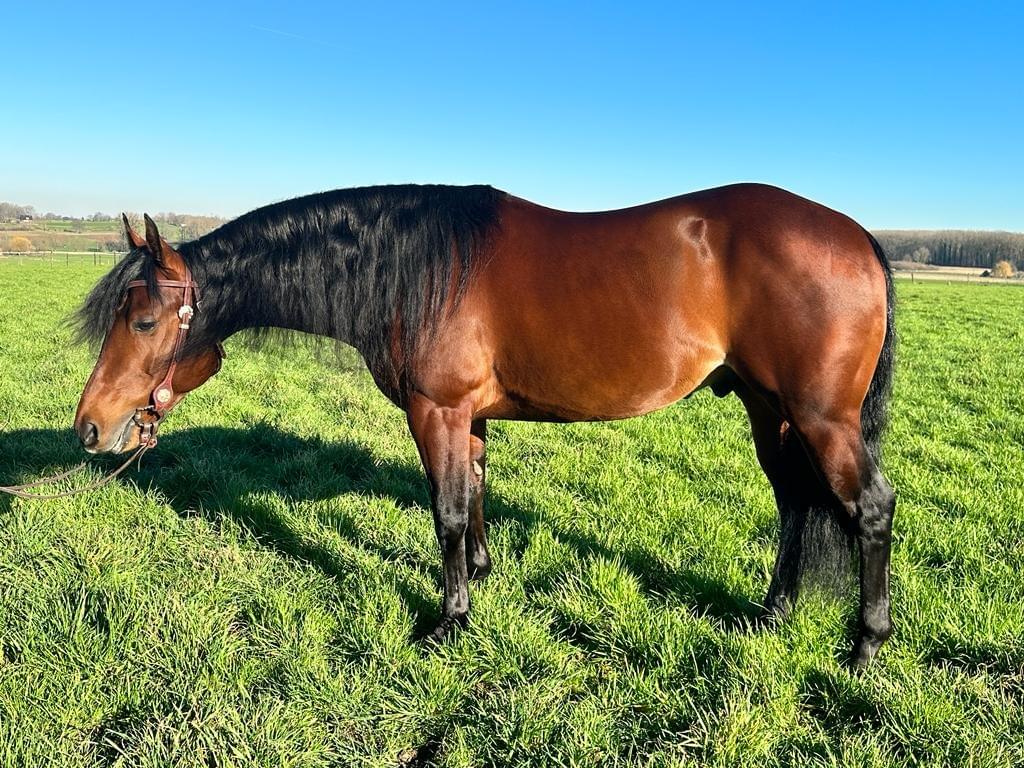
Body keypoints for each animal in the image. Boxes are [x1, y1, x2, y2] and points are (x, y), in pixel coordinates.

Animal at [73, 183, 895, 666]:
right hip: (770, 412)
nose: (89, 427)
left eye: (143, 320)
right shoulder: (467, 417)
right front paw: (480, 575)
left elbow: (444, 509)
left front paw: (448, 621)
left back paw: (865, 646)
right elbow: (471, 497)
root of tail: (857, 234)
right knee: (795, 505)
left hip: (820, 419)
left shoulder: (436, 410)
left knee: (869, 509)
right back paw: (771, 616)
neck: (411, 267)